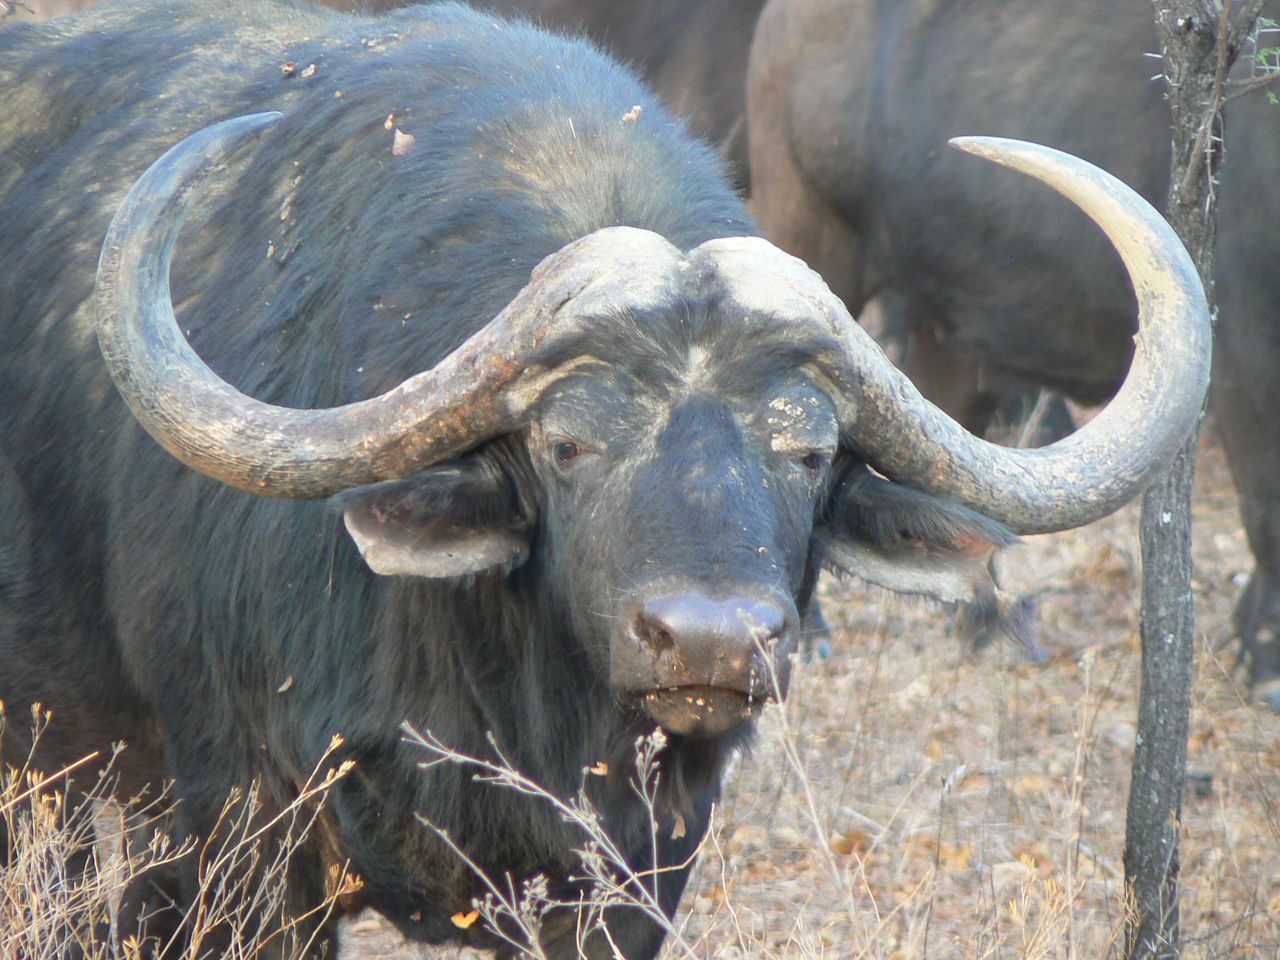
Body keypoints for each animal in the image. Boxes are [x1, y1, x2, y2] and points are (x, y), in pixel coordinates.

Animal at [0, 0, 1207, 955]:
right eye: (568, 445)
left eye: (809, 452)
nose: (712, 642)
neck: (499, 699)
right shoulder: (239, 842)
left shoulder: (633, 881)